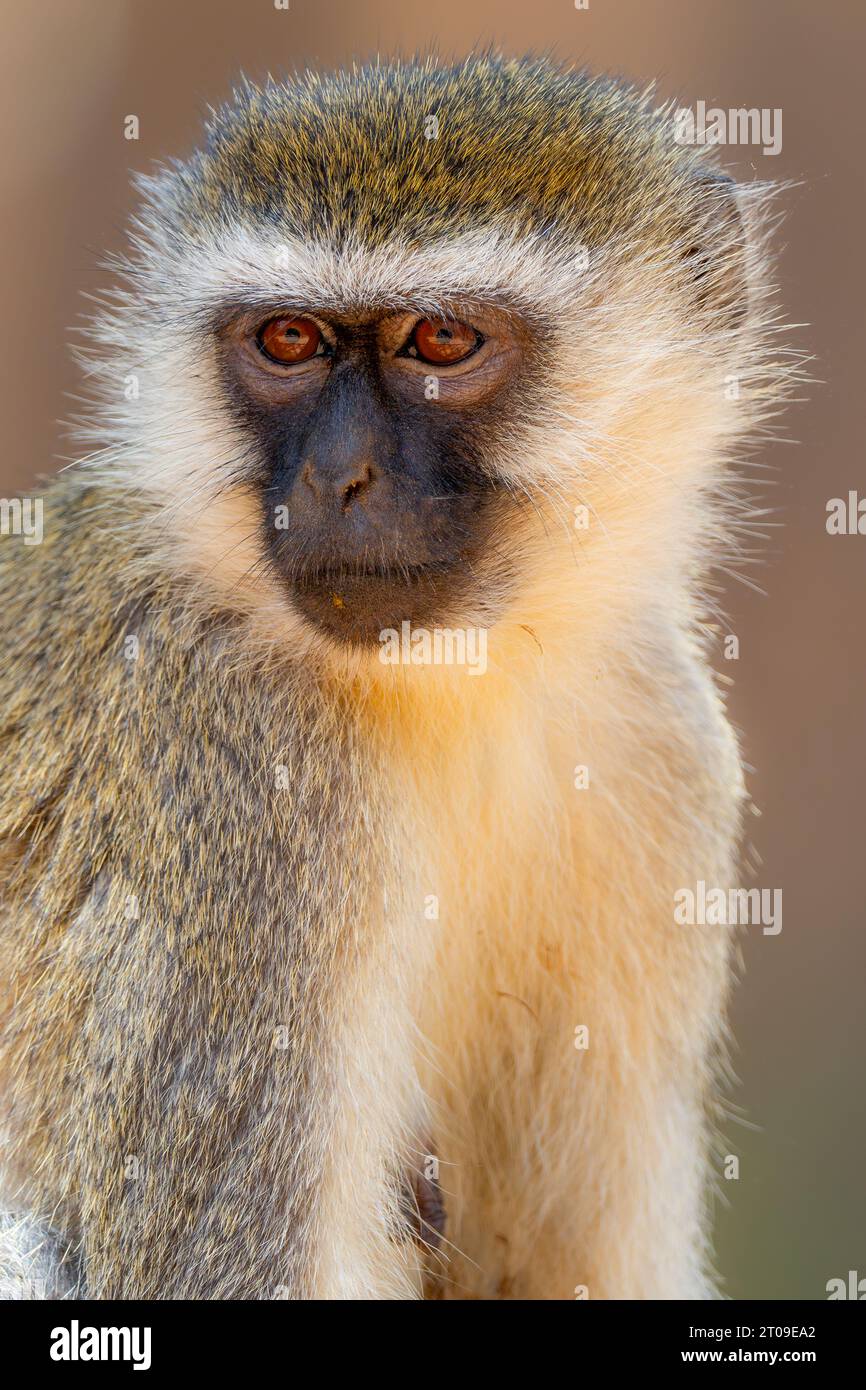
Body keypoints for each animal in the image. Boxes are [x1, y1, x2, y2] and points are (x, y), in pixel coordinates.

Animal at [0, 55, 790, 1300]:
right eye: (286, 341)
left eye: (439, 341)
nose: (337, 477)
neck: (458, 673)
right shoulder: (243, 769)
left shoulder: (660, 739)